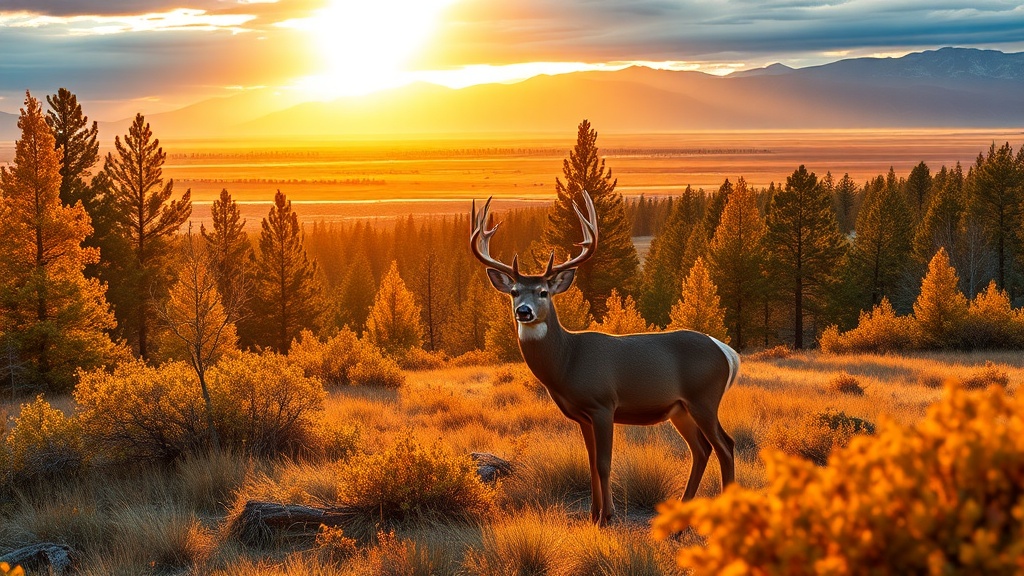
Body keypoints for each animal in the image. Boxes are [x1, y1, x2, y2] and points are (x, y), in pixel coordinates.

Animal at [471, 191, 739, 526]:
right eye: (514, 292)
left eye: (544, 292)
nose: (524, 311)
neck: (567, 362)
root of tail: (726, 352)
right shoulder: (581, 414)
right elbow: (589, 463)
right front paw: (593, 513)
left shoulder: (603, 404)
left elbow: (603, 463)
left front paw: (607, 515)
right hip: (680, 409)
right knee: (701, 449)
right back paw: (682, 512)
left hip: (704, 398)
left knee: (725, 445)